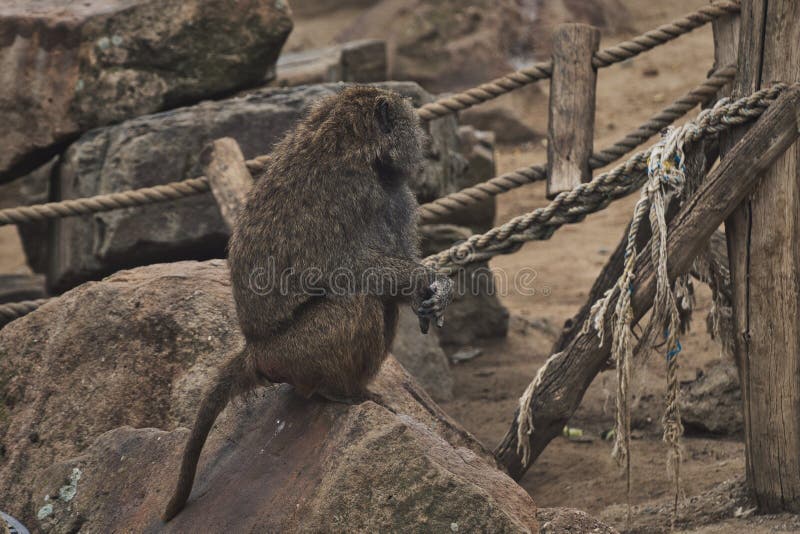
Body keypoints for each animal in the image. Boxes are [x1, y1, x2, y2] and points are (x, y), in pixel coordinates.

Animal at [162, 86, 453, 521]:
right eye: (411, 123)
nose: (425, 146)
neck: (351, 142)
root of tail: (254, 348)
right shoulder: (358, 192)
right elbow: (351, 270)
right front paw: (427, 282)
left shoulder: (392, 195)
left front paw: (432, 296)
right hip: (292, 354)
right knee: (357, 302)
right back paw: (337, 390)